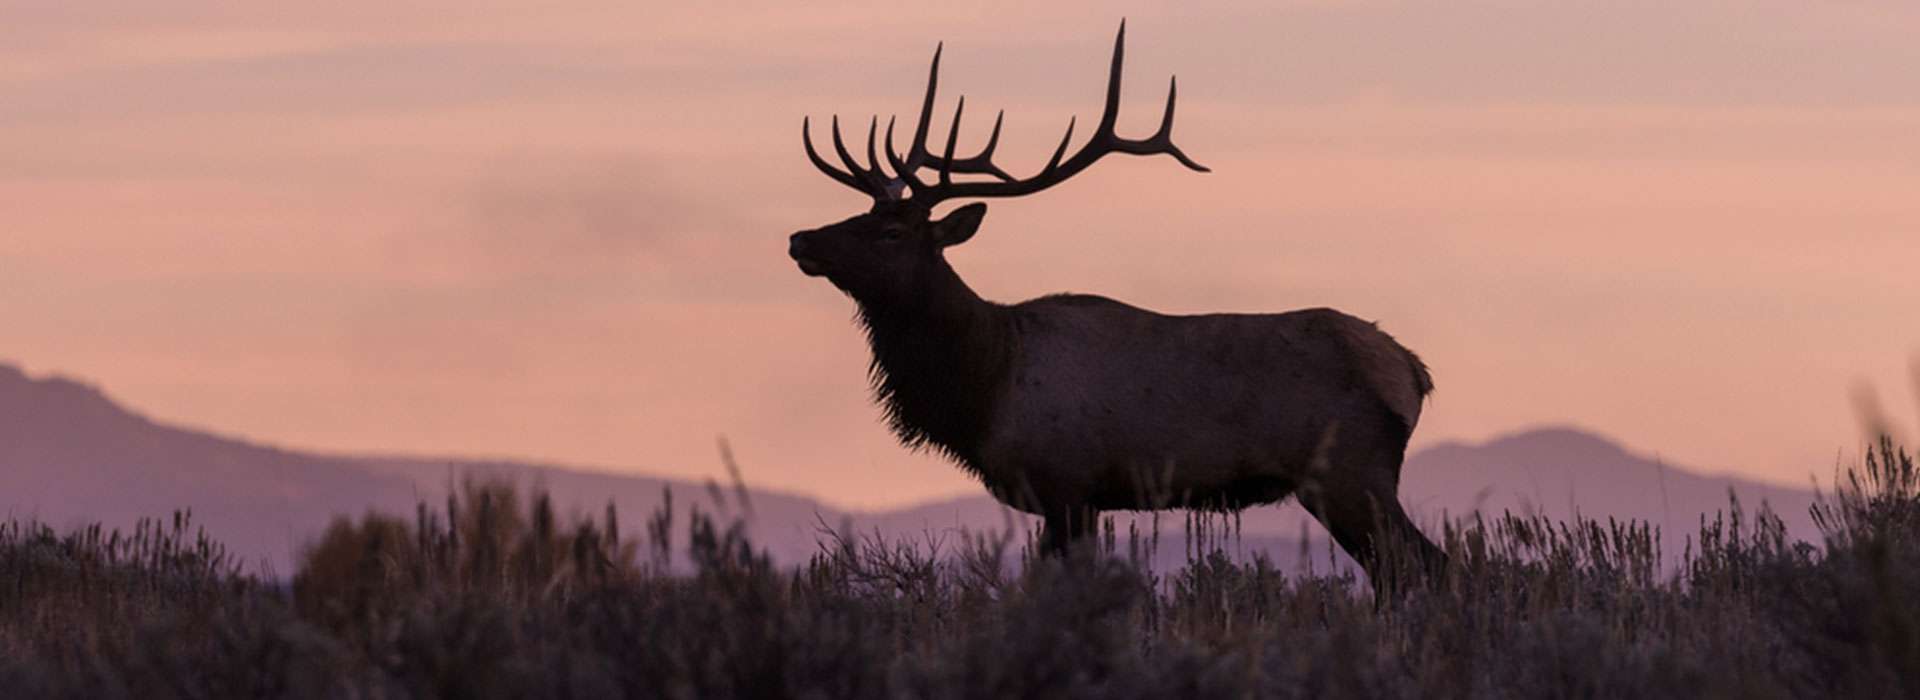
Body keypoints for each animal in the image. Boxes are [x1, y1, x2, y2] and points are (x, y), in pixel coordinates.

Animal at [787, 23, 1447, 588]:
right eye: (861, 215)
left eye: (892, 233)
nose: (801, 239)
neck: (985, 383)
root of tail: (1414, 372)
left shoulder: (1068, 484)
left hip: (1351, 473)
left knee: (1425, 566)